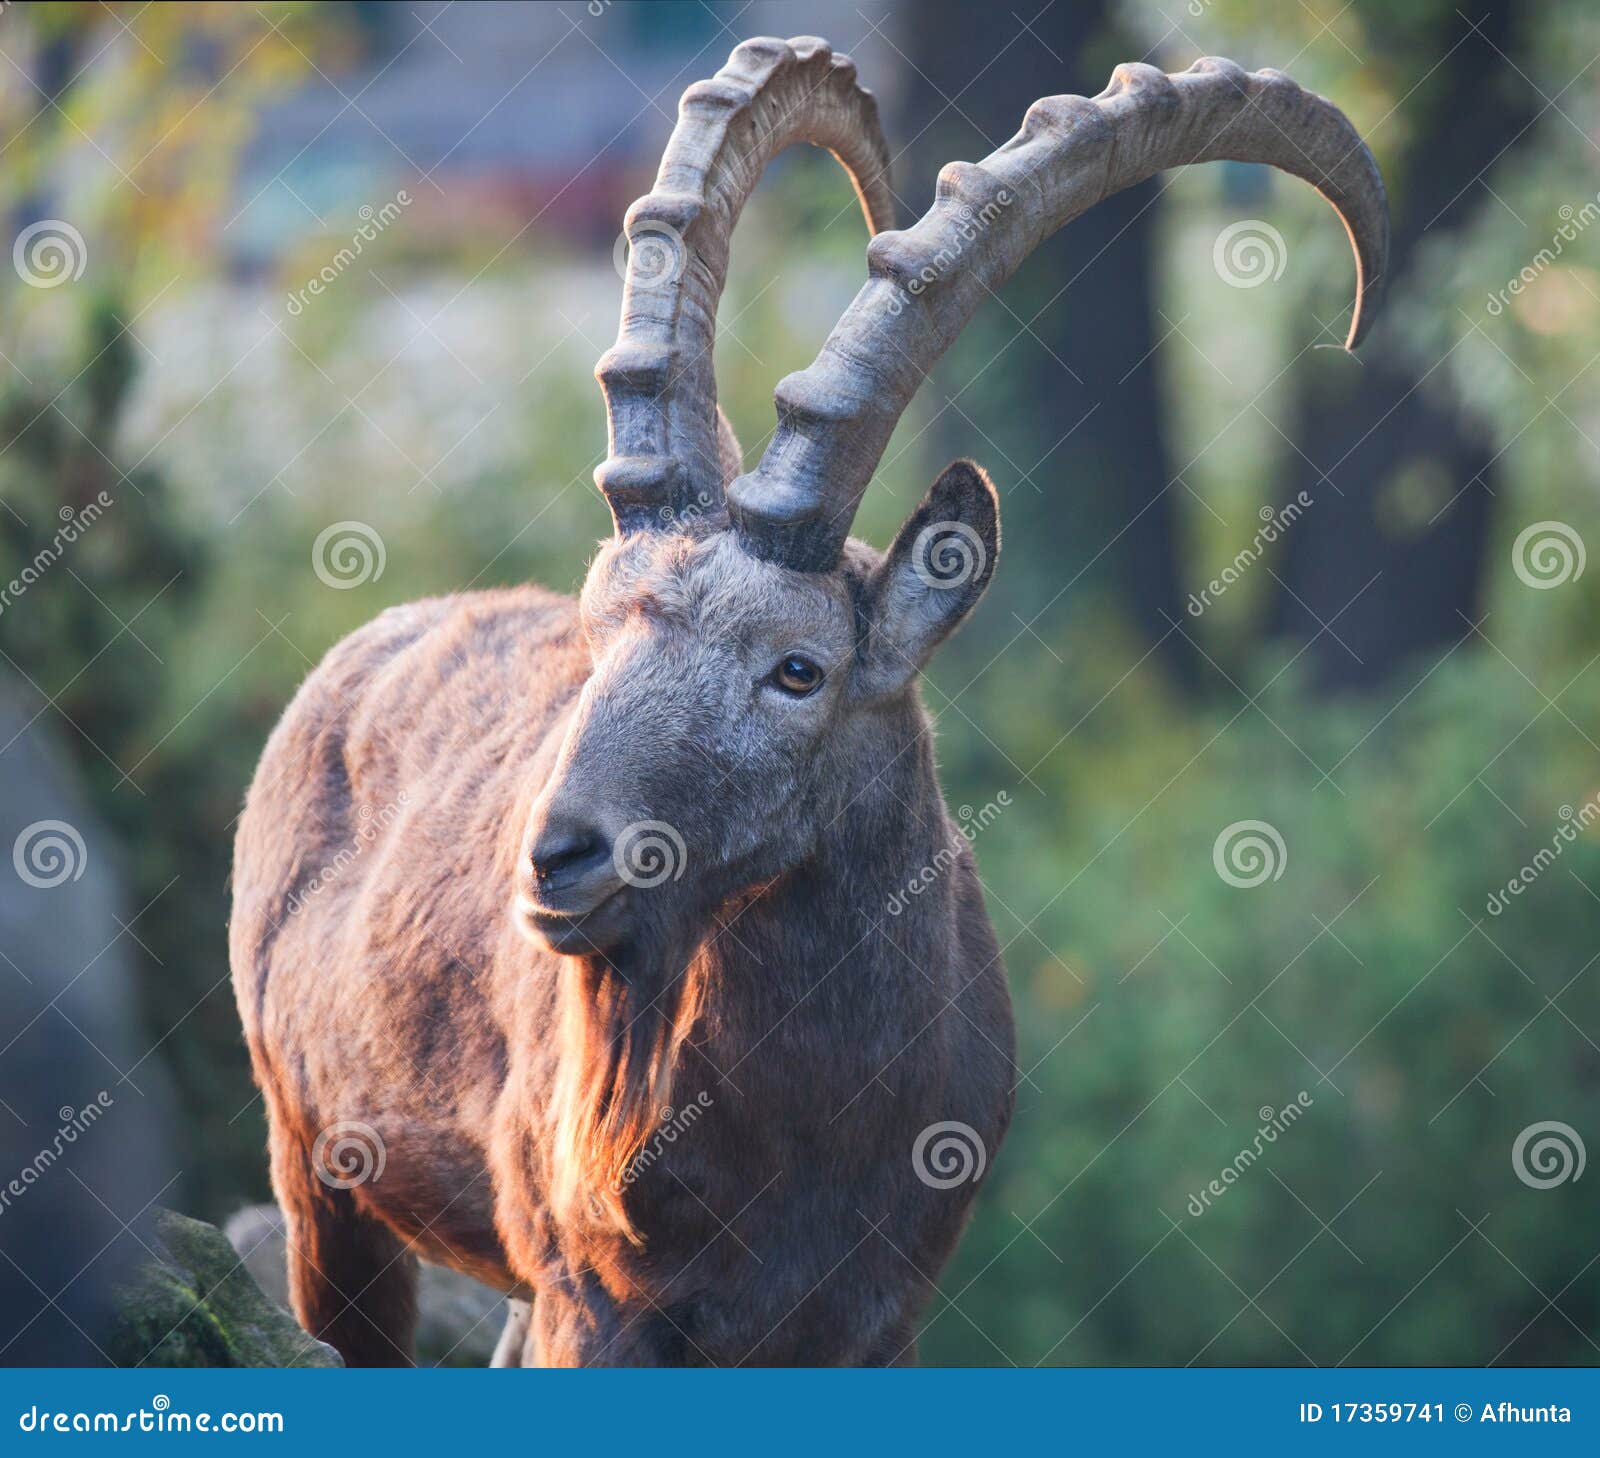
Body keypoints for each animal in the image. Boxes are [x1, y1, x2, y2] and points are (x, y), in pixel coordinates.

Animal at [229, 36, 1387, 1367]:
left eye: (798, 668)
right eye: (595, 632)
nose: (558, 860)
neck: (808, 1132)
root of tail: (363, 648)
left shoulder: (879, 1314)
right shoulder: (596, 1300)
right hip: (320, 1180)